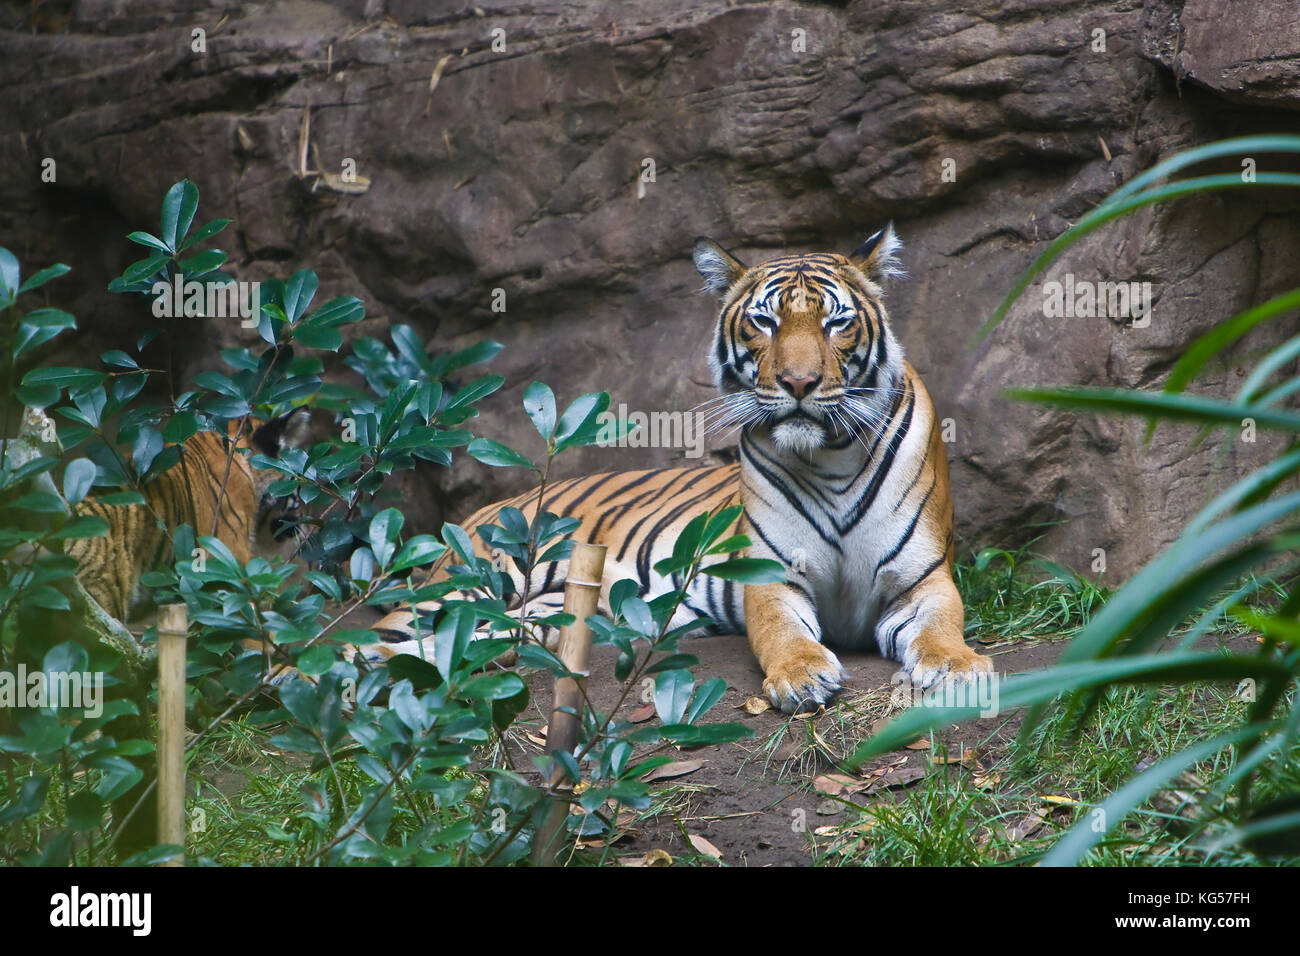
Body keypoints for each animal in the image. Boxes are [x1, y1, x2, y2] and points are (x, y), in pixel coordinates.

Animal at [370, 226, 992, 712]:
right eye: (765, 323)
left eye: (836, 324)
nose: (798, 383)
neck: (831, 456)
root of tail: (483, 510)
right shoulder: (771, 580)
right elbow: (782, 633)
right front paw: (801, 675)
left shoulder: (922, 579)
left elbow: (942, 625)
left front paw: (957, 667)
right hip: (472, 582)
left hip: (529, 616)